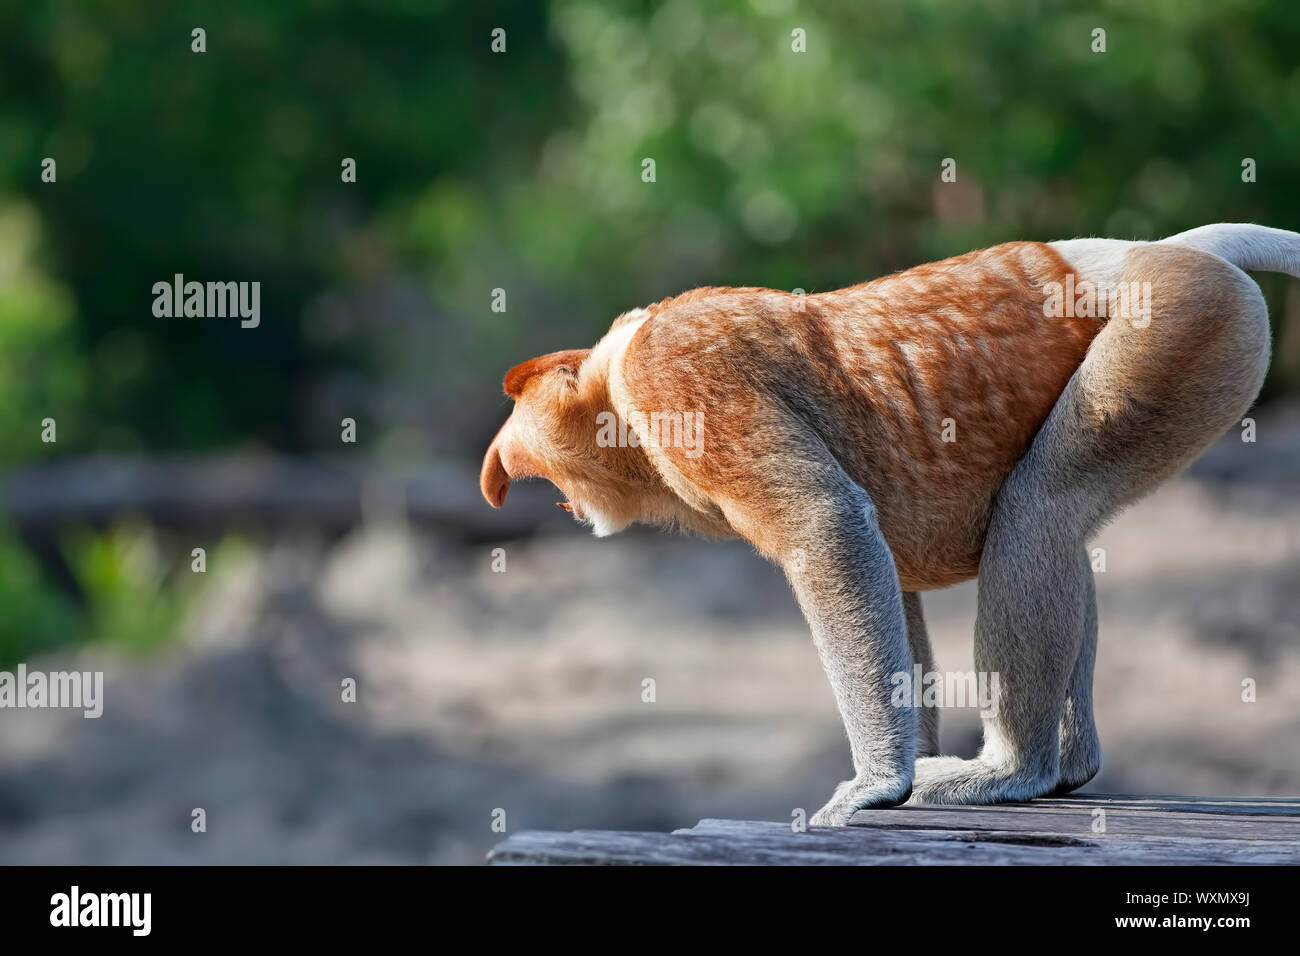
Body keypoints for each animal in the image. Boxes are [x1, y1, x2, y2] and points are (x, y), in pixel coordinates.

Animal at [480, 223, 1299, 825]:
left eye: (519, 395)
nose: (500, 463)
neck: (615, 379)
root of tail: (1166, 249)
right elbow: (890, 578)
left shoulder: (681, 376)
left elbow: (827, 525)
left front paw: (877, 784)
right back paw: (1065, 768)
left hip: (1174, 333)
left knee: (1040, 509)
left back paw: (1010, 771)